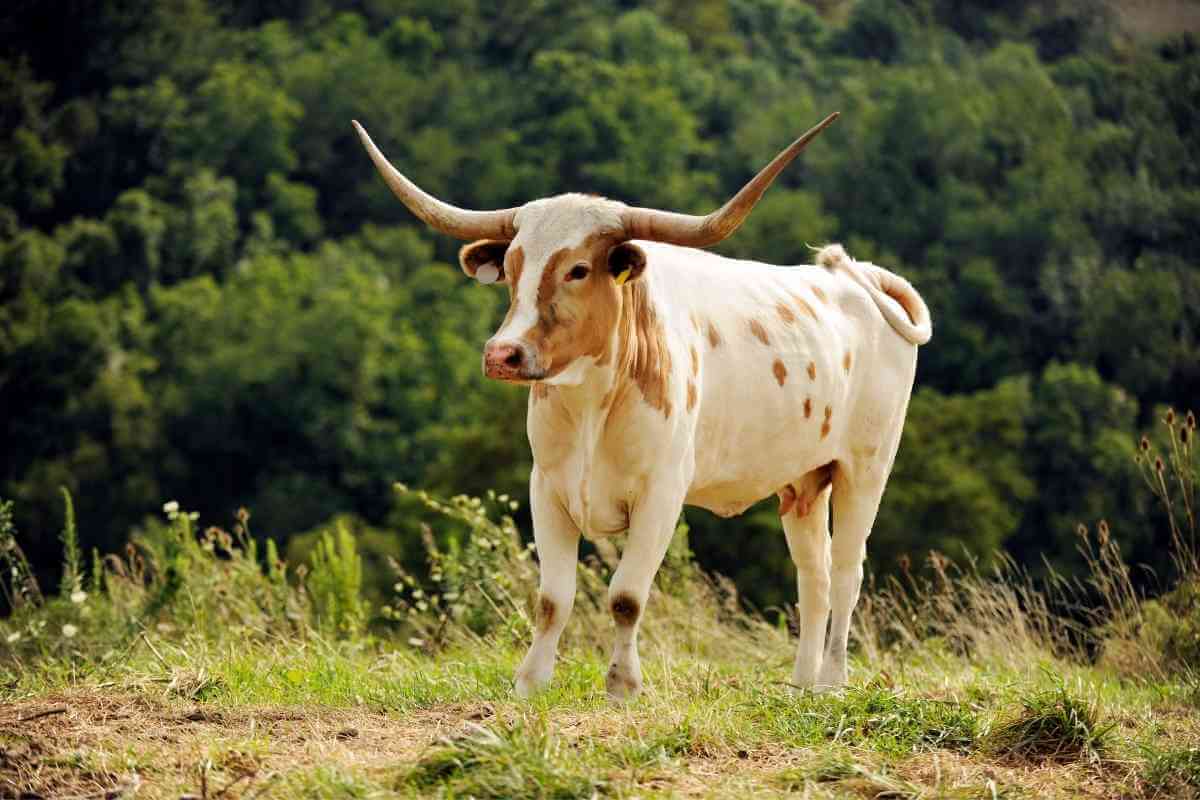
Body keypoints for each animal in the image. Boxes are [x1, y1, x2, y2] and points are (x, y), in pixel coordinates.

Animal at [353, 113, 932, 700]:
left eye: (578, 269)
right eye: (512, 268)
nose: (502, 354)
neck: (590, 405)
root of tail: (855, 276)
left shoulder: (661, 495)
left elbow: (626, 596)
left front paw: (623, 685)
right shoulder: (548, 488)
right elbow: (552, 599)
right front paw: (531, 681)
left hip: (865, 469)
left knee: (846, 572)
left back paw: (833, 682)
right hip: (803, 482)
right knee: (813, 575)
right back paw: (801, 685)